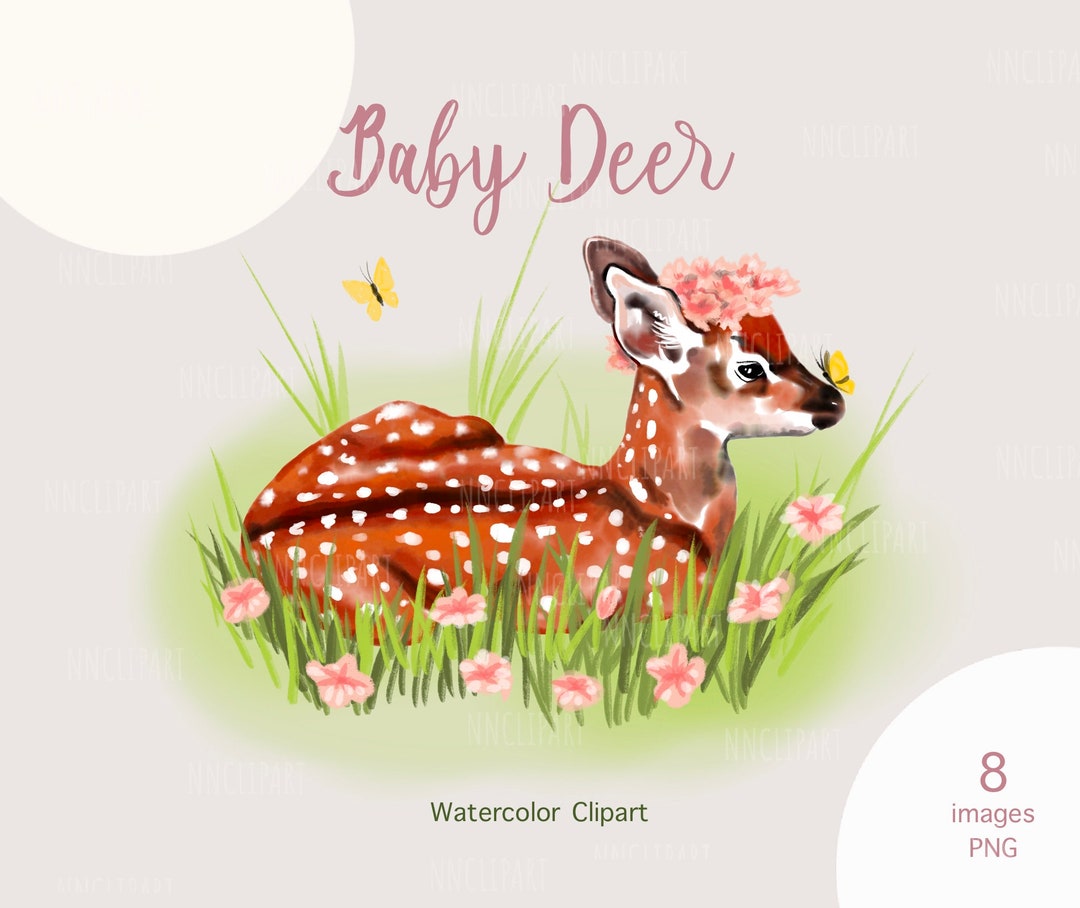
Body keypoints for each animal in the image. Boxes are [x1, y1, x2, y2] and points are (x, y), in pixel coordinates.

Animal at [242, 237, 844, 637]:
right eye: (750, 368)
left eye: (788, 342)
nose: (833, 404)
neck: (657, 509)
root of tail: (250, 533)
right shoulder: (572, 605)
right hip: (384, 606)